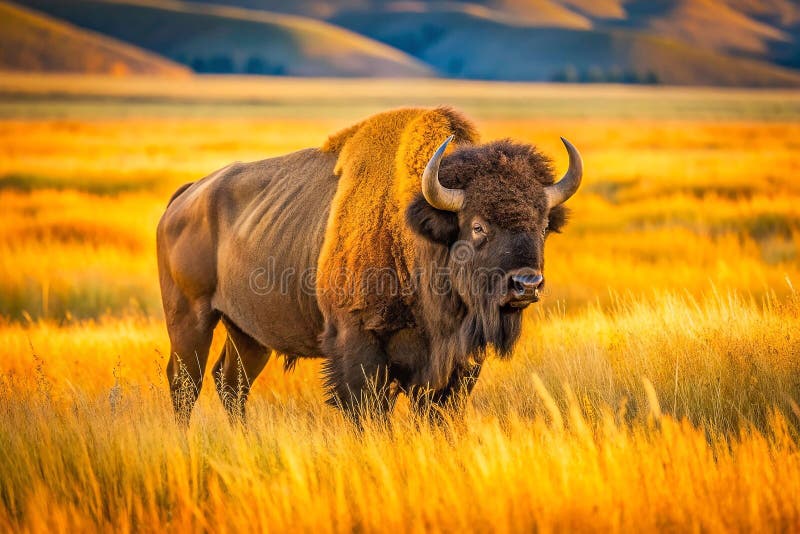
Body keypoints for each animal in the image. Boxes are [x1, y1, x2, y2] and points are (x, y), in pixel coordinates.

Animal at [157, 107, 582, 425]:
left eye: (543, 225)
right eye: (478, 226)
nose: (527, 284)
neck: (414, 230)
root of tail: (186, 196)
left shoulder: (456, 367)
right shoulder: (359, 348)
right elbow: (370, 415)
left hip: (248, 333)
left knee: (231, 383)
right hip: (190, 319)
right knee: (186, 383)